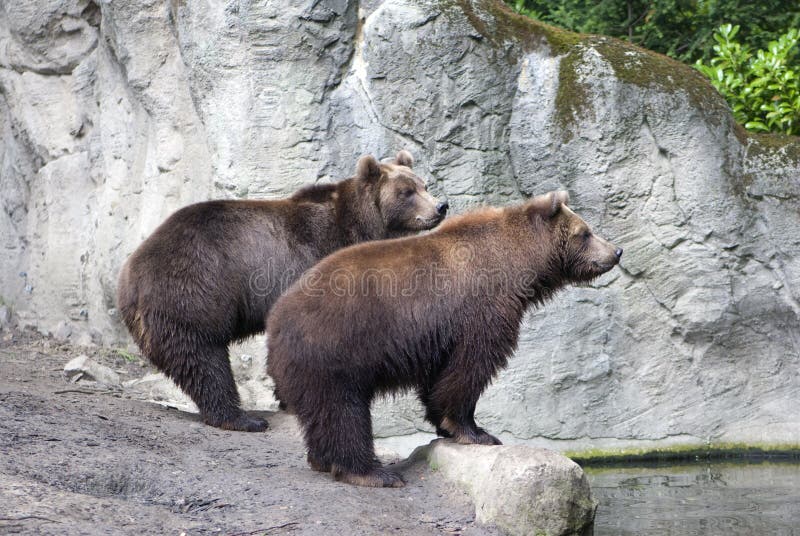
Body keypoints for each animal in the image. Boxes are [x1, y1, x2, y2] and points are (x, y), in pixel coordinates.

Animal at [117, 151, 448, 432]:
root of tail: (131, 273)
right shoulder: (316, 259)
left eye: (424, 185)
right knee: (204, 357)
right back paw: (243, 418)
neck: (362, 226)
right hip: (193, 289)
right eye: (407, 192)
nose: (440, 206)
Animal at [266, 190, 622, 487]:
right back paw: (371, 472)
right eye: (585, 232)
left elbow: (440, 378)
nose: (616, 251)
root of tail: (276, 320)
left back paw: (323, 460)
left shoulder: (440, 335)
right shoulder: (481, 309)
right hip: (333, 349)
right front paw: (477, 431)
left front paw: (445, 424)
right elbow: (470, 368)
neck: (518, 265)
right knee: (342, 412)